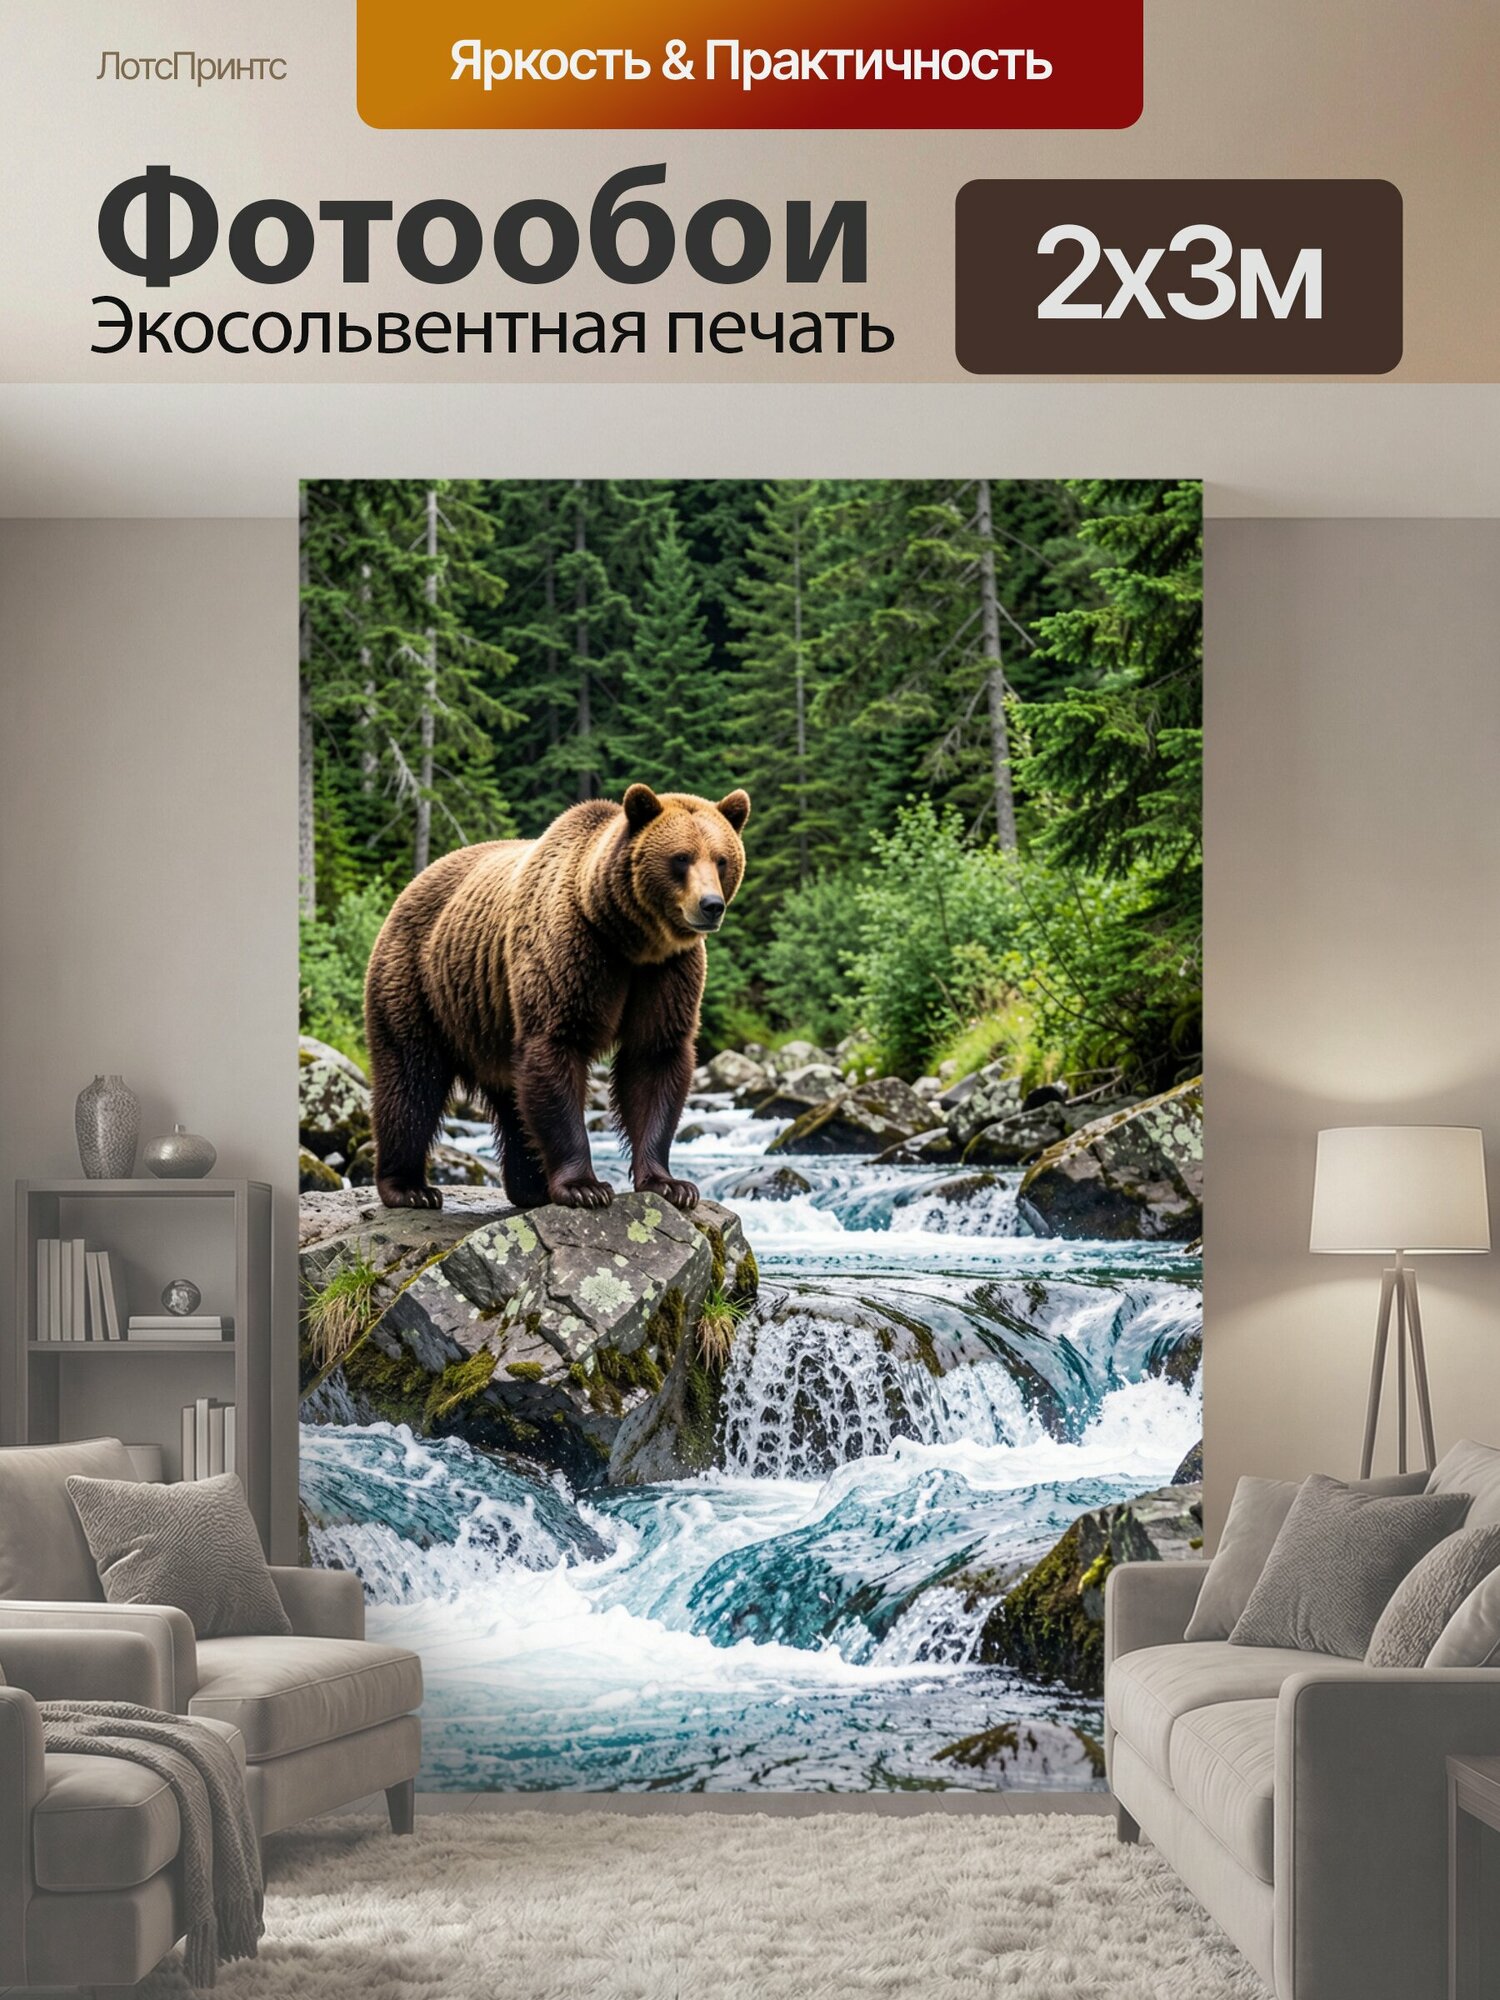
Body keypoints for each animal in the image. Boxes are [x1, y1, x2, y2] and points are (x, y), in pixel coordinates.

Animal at [363, 783, 751, 1214]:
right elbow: (556, 1048)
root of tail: (413, 884)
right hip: (419, 981)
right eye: (681, 858)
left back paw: (528, 1188)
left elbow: (655, 1057)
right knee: (411, 1078)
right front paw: (584, 1187)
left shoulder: (666, 973)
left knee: (510, 1098)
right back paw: (410, 1188)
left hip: (489, 1018)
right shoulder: (572, 953)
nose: (711, 906)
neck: (628, 939)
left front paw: (670, 1184)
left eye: (721, 860)